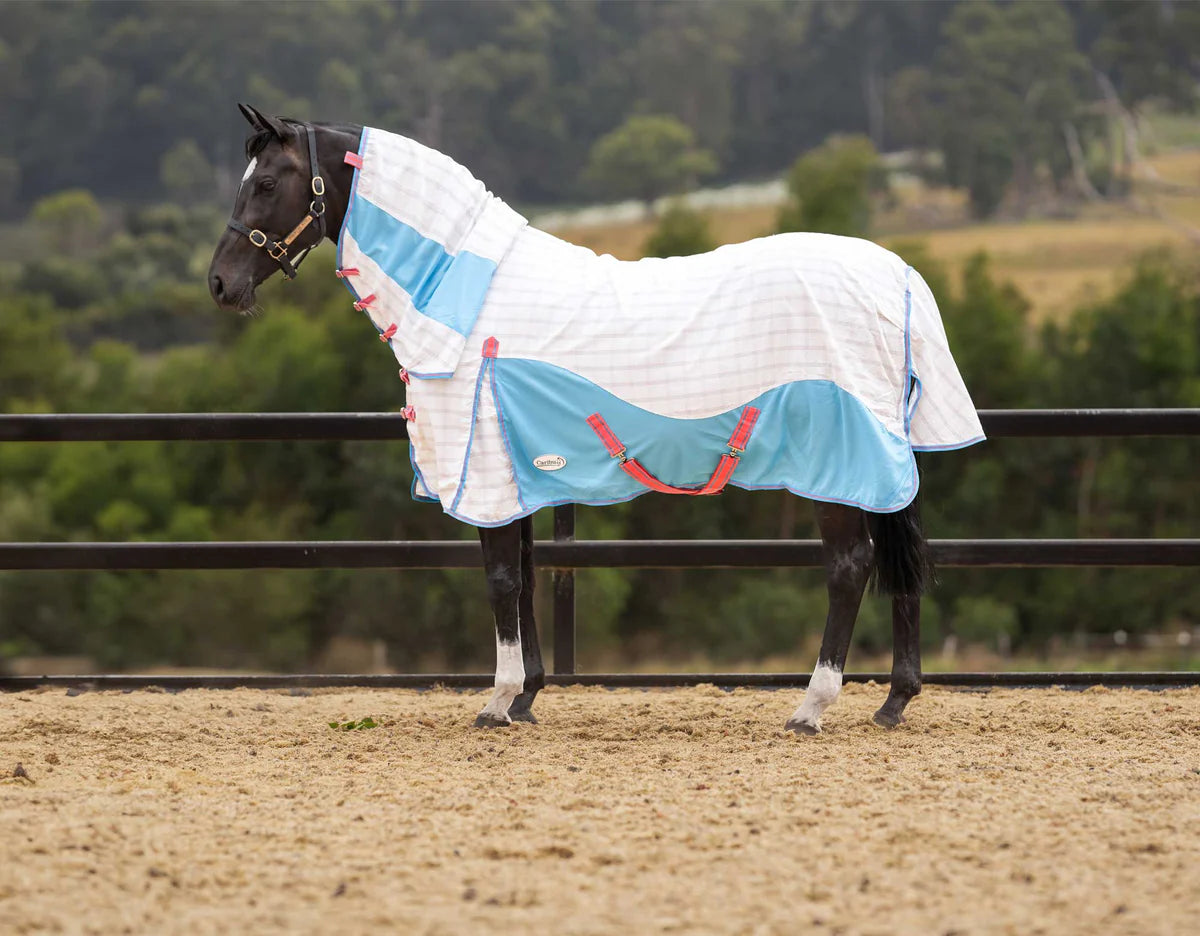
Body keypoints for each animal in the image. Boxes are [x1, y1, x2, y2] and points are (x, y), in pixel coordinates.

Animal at [208, 104, 984, 734]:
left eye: (267, 182)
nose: (220, 284)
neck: (465, 301)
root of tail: (896, 277)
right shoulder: (515, 472)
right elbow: (524, 574)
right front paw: (526, 697)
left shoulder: (484, 471)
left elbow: (501, 578)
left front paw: (496, 702)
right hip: (880, 464)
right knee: (900, 562)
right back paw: (894, 702)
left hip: (838, 465)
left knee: (851, 569)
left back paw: (810, 708)